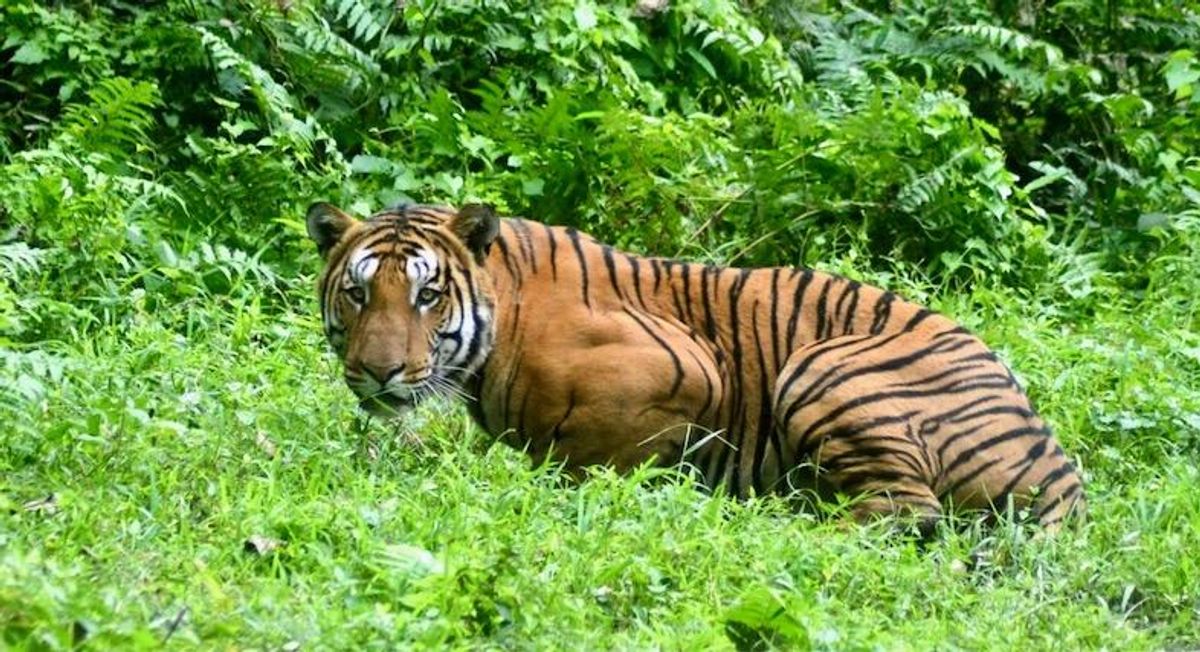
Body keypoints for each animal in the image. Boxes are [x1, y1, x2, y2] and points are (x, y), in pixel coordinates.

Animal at [305, 201, 1086, 533]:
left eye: (428, 295)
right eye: (358, 292)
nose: (378, 372)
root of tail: (1059, 470)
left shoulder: (687, 368)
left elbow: (592, 458)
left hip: (822, 366)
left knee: (904, 512)